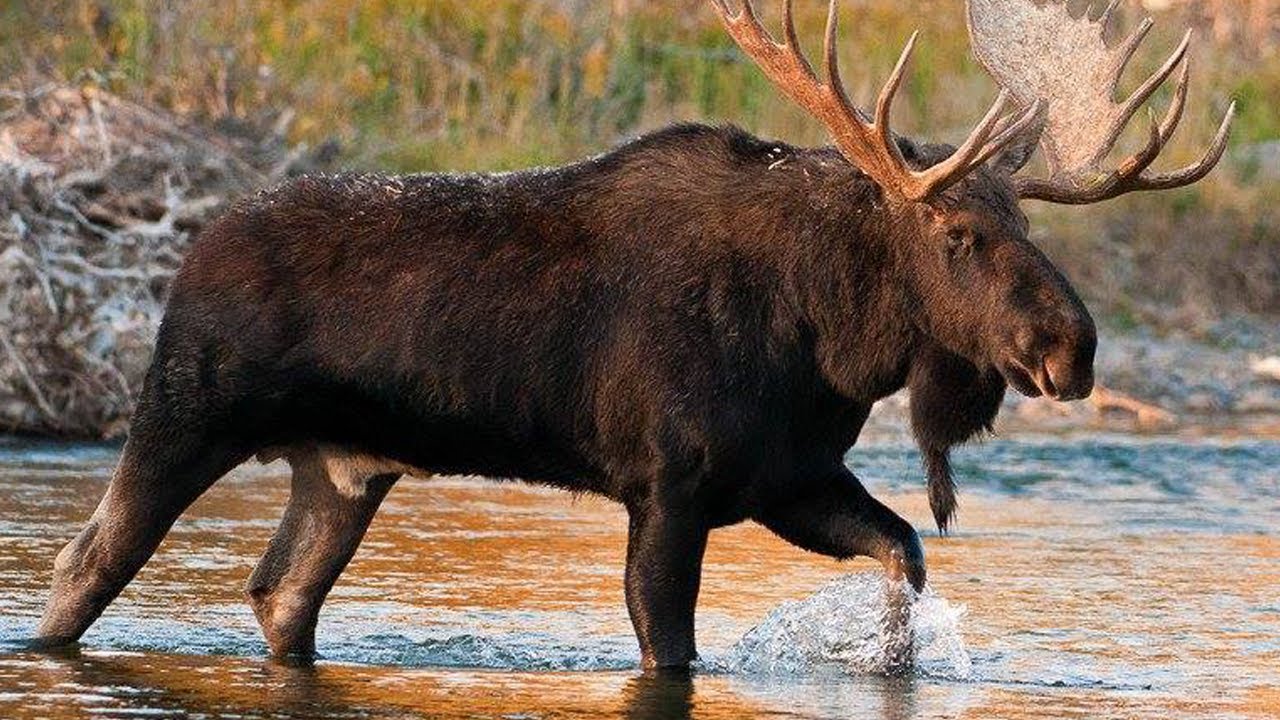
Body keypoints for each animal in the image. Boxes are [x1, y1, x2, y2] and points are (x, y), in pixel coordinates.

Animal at [33, 0, 1233, 671]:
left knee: (279, 595)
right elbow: (670, 648)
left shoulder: (786, 475)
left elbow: (904, 555)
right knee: (83, 561)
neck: (826, 340)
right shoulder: (668, 483)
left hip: (344, 467)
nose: (1075, 348)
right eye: (958, 231)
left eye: (1027, 223)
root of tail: (191, 244)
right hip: (186, 406)